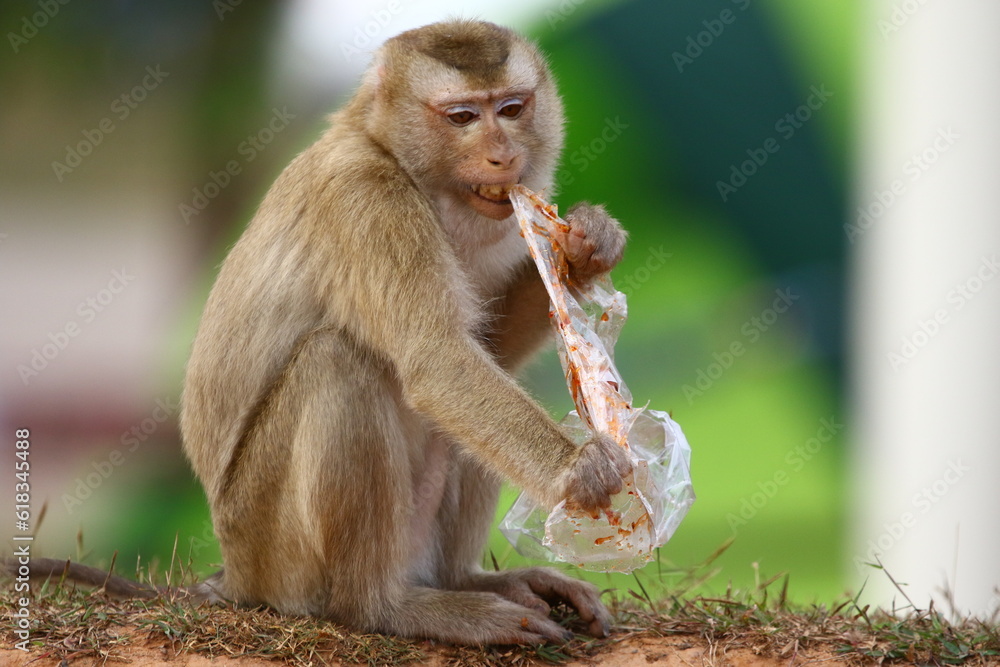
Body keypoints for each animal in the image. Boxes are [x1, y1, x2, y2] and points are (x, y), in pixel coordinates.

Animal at [13, 19, 631, 646]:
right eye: (462, 117)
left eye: (511, 108)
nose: (503, 155)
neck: (397, 158)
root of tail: (234, 574)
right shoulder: (369, 198)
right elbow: (435, 361)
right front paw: (583, 468)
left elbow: (488, 349)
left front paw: (588, 247)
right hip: (272, 548)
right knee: (337, 362)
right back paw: (384, 608)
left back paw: (466, 580)